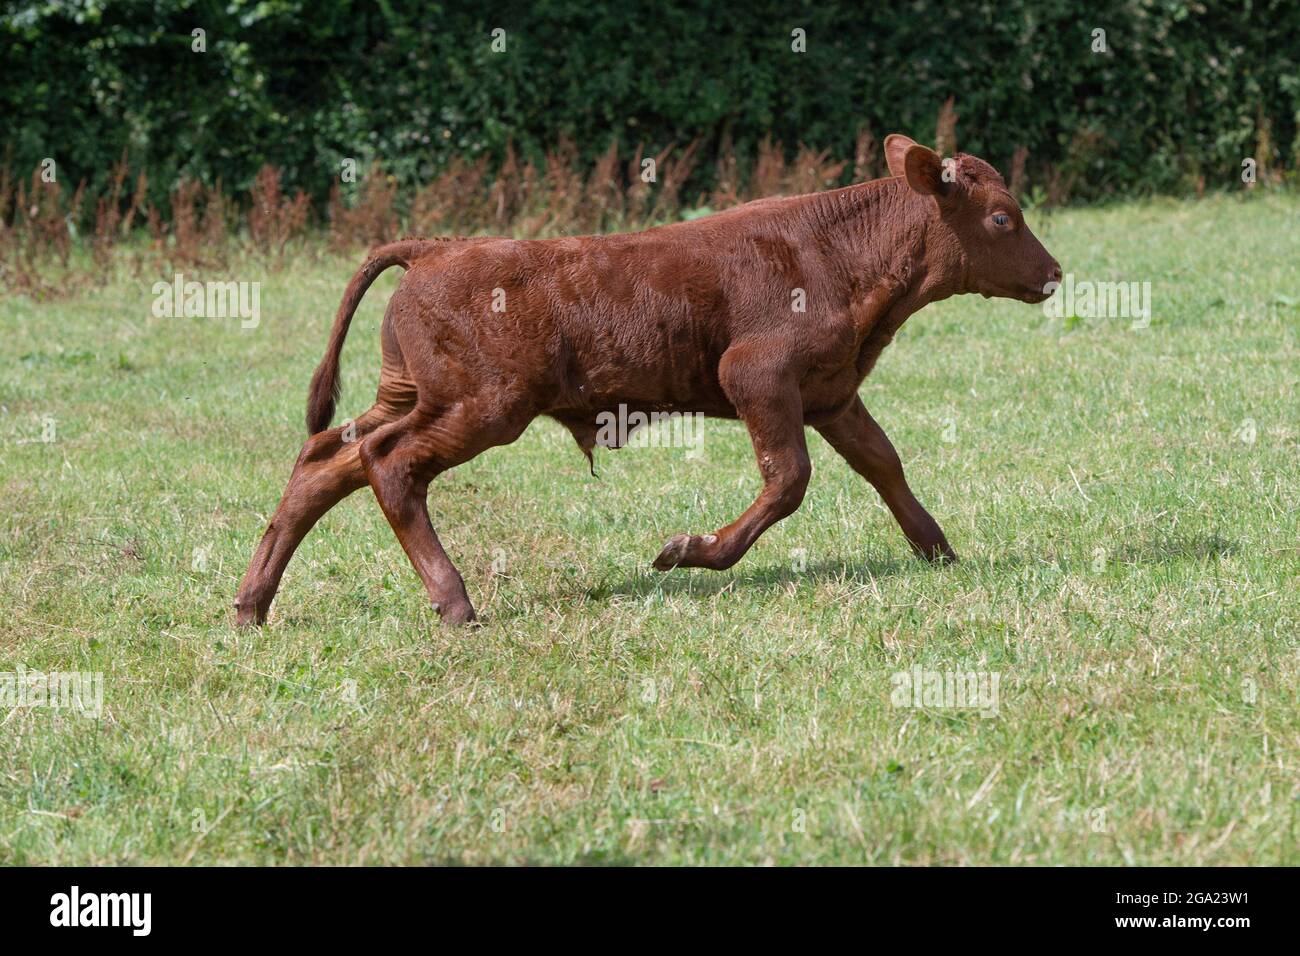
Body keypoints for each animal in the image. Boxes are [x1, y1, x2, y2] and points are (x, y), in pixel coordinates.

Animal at [235, 134, 1061, 627]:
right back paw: (454, 600)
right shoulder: (758, 376)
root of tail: (439, 247)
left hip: (412, 393)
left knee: (327, 459)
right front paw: (686, 552)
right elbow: (788, 479)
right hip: (483, 406)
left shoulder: (831, 392)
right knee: (390, 463)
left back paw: (251, 603)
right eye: (1001, 218)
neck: (842, 255)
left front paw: (938, 549)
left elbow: (883, 463)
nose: (1054, 273)